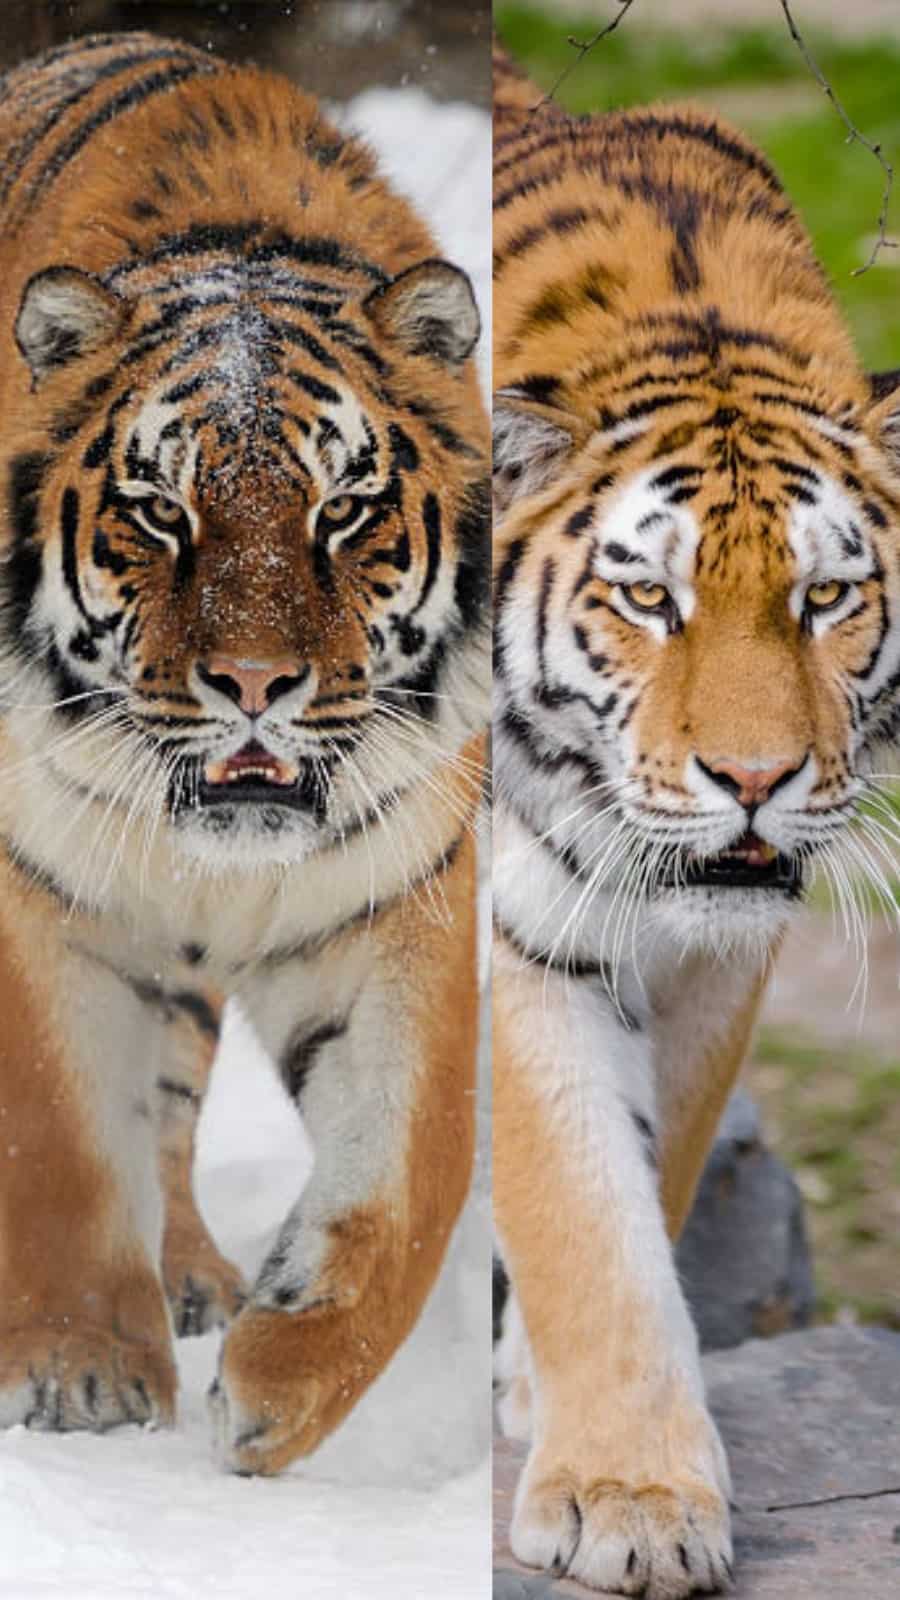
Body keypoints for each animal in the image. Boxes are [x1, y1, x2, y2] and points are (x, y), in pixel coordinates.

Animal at [0, 31, 489, 1477]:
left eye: (345, 510)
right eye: (161, 512)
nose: (258, 685)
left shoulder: (394, 894)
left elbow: (405, 1175)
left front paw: (279, 1387)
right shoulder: (39, 885)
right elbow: (60, 1141)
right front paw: (83, 1377)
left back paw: (200, 1283)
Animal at [492, 41, 900, 1598]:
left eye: (826, 598)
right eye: (647, 597)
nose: (754, 779)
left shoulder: (727, 946)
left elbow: (651, 1170)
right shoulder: (512, 927)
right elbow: (580, 1206)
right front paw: (630, 1497)